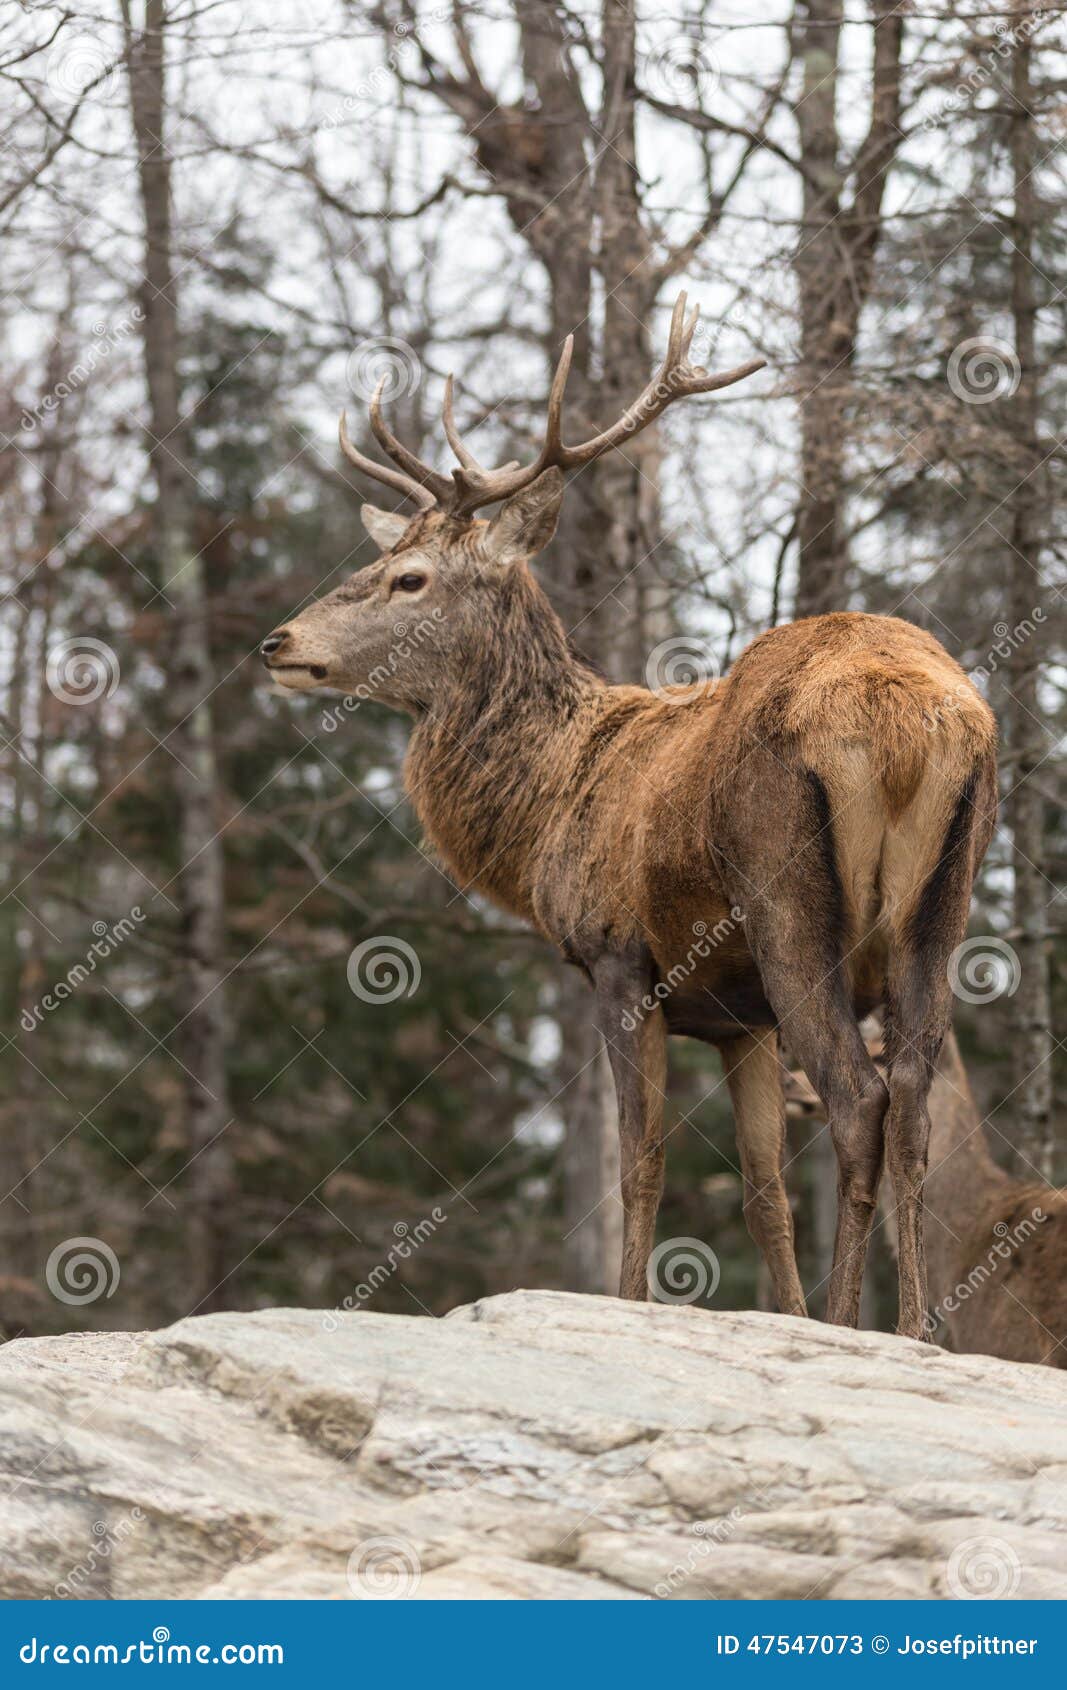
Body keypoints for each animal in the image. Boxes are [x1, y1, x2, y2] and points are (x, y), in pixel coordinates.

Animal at [261, 294, 998, 1340]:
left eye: (411, 579)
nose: (277, 642)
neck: (549, 808)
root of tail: (908, 717)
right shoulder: (739, 1019)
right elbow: (763, 1190)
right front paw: (779, 1308)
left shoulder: (619, 958)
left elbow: (638, 1161)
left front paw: (631, 1302)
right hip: (941, 906)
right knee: (914, 1101)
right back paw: (909, 1334)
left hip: (789, 901)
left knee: (860, 1098)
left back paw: (846, 1322)